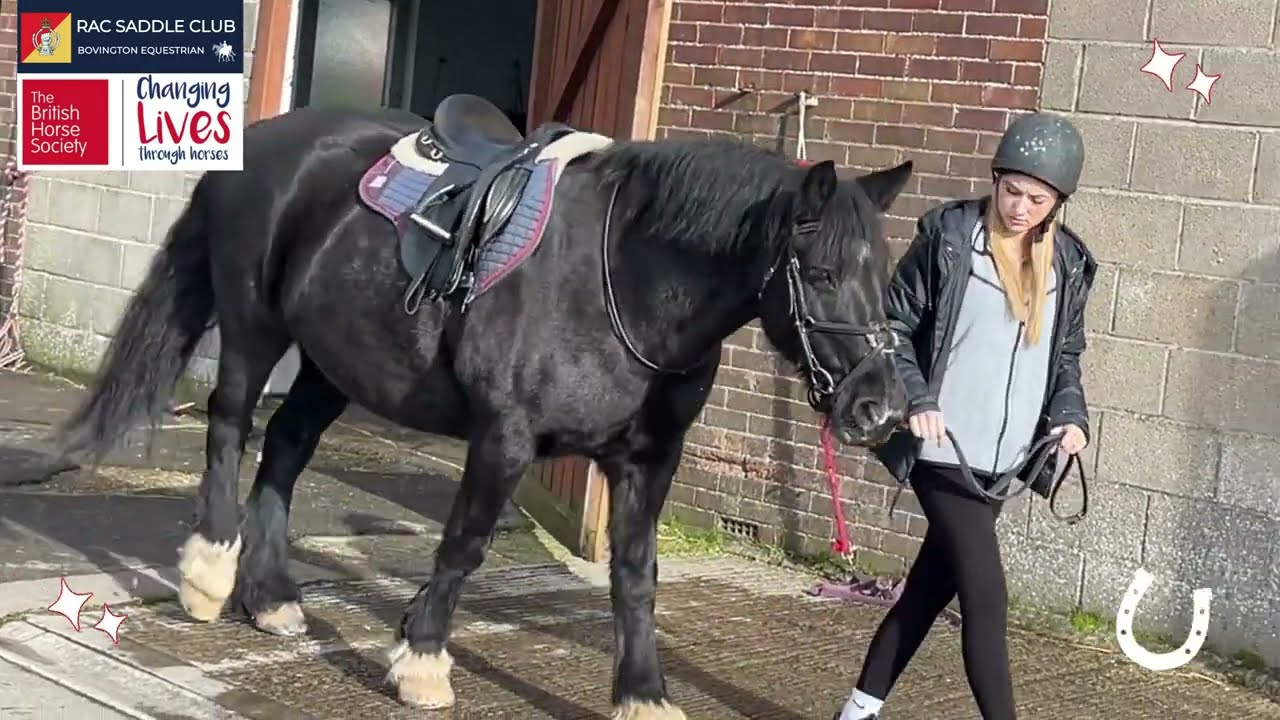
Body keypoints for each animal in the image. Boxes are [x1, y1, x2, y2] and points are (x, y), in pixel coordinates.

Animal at [51, 98, 913, 719]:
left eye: (886, 273)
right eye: (823, 272)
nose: (878, 409)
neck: (622, 281)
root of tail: (258, 142)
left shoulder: (648, 460)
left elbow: (636, 575)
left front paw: (643, 696)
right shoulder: (505, 437)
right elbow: (464, 544)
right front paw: (423, 662)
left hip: (335, 362)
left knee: (287, 450)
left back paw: (273, 599)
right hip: (254, 328)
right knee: (231, 426)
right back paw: (208, 576)